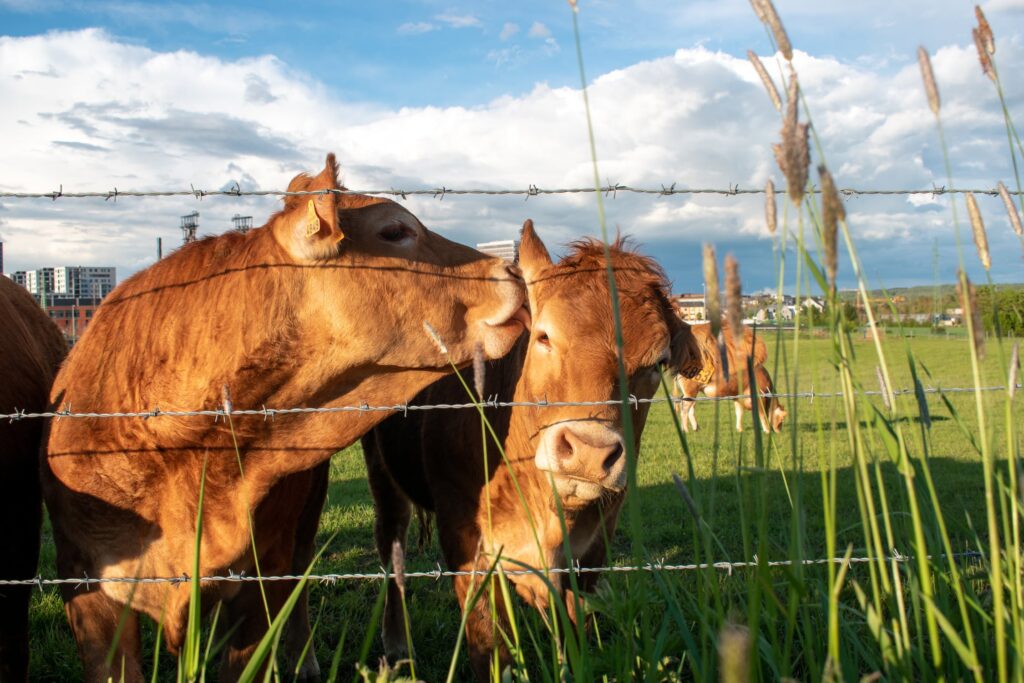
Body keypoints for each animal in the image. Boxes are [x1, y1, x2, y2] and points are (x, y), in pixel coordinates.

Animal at [360, 221, 701, 679]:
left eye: (656, 363)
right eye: (543, 336)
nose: (589, 452)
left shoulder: (592, 551)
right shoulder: (468, 548)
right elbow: (493, 653)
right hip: (383, 474)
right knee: (390, 544)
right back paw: (396, 644)